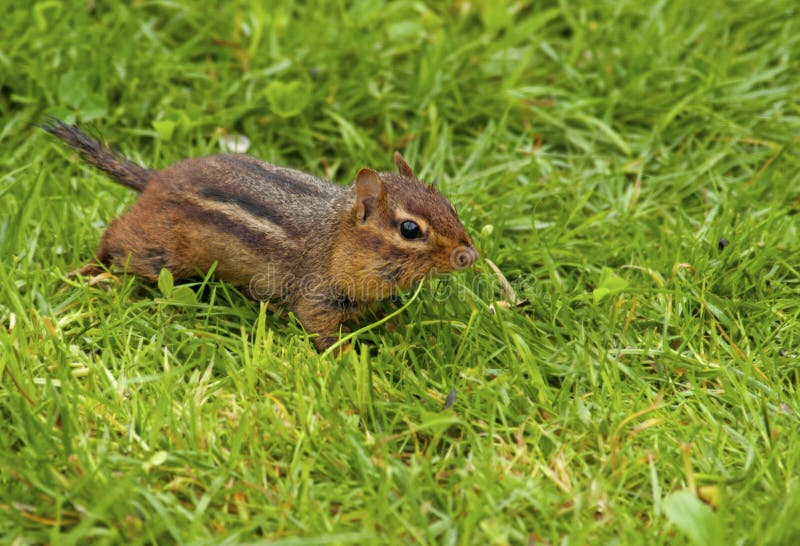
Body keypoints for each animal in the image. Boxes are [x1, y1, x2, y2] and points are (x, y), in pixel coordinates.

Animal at [41, 119, 478, 351]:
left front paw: (393, 327)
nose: (468, 255)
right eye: (410, 229)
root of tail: (155, 178)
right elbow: (320, 329)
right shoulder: (317, 296)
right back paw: (86, 269)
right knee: (115, 233)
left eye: (450, 206)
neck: (335, 239)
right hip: (158, 253)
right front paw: (350, 356)